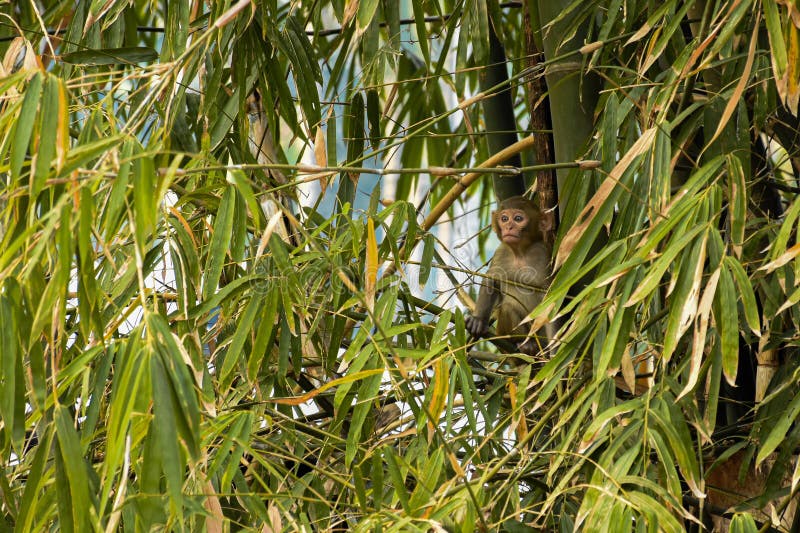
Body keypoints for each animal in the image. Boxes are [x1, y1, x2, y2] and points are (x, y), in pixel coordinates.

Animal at [465, 196, 554, 354]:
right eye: (504, 219)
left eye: (518, 218)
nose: (509, 227)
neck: (520, 252)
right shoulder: (501, 252)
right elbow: (492, 281)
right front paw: (478, 320)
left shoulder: (543, 253)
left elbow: (550, 295)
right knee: (507, 307)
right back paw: (524, 343)